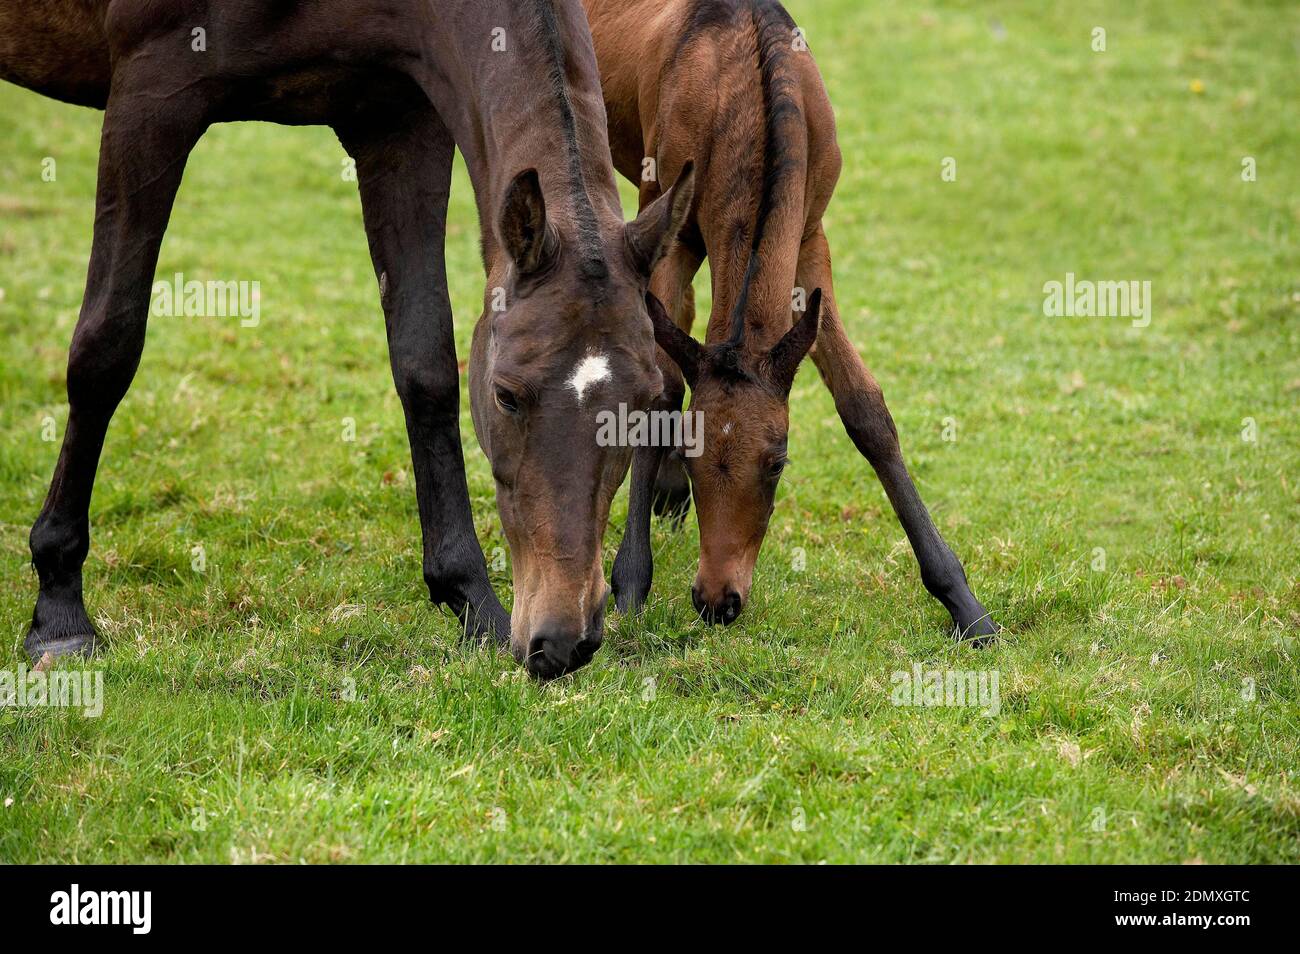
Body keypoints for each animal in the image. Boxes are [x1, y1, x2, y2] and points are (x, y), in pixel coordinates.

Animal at [0, 0, 694, 679]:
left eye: (642, 407)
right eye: (506, 396)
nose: (563, 640)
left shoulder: (399, 121)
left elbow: (425, 362)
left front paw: (472, 602)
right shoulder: (150, 94)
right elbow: (107, 348)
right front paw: (59, 609)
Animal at [583, 0, 997, 639]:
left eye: (777, 463)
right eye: (696, 455)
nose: (717, 599)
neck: (743, 93)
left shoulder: (808, 236)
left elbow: (864, 407)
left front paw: (966, 604)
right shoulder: (670, 224)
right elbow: (661, 390)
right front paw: (629, 584)